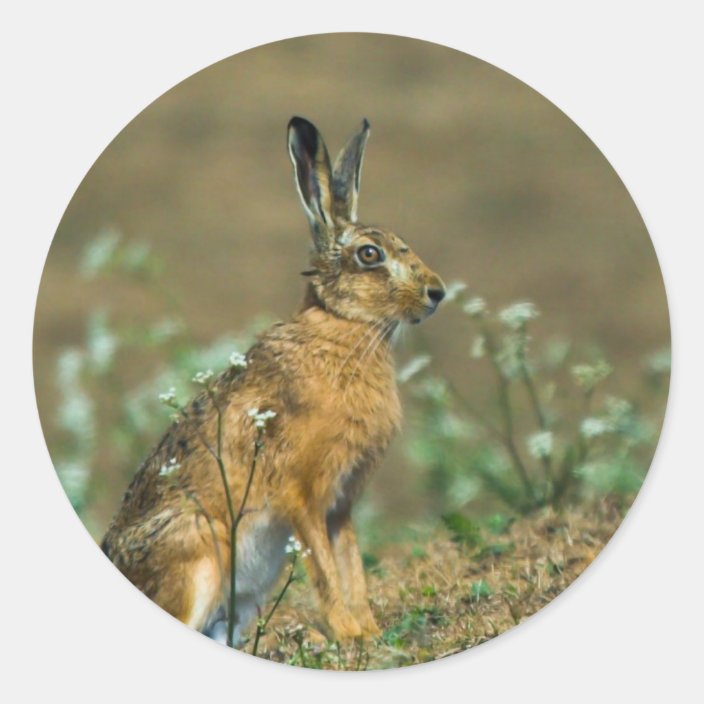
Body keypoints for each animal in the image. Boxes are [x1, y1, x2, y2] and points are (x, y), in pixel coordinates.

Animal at [101, 116, 446, 644]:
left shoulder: (341, 504)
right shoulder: (303, 493)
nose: (437, 293)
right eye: (370, 254)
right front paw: (347, 633)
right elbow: (325, 570)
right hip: (197, 551)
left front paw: (366, 632)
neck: (339, 325)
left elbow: (351, 567)